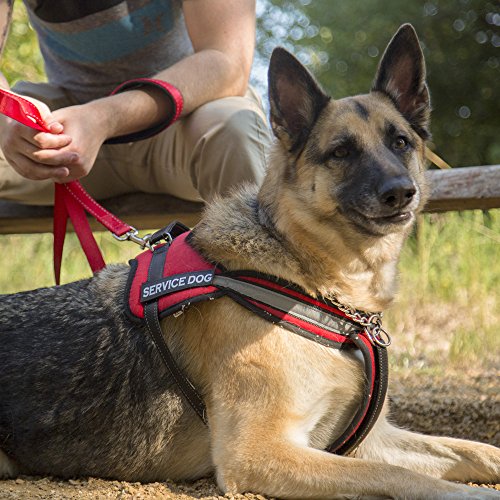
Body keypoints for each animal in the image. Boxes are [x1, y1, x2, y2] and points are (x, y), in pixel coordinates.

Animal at [0, 25, 500, 498]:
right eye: (341, 152)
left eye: (400, 143)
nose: (400, 192)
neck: (311, 279)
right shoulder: (259, 452)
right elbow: (395, 475)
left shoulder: (371, 439)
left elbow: (477, 449)